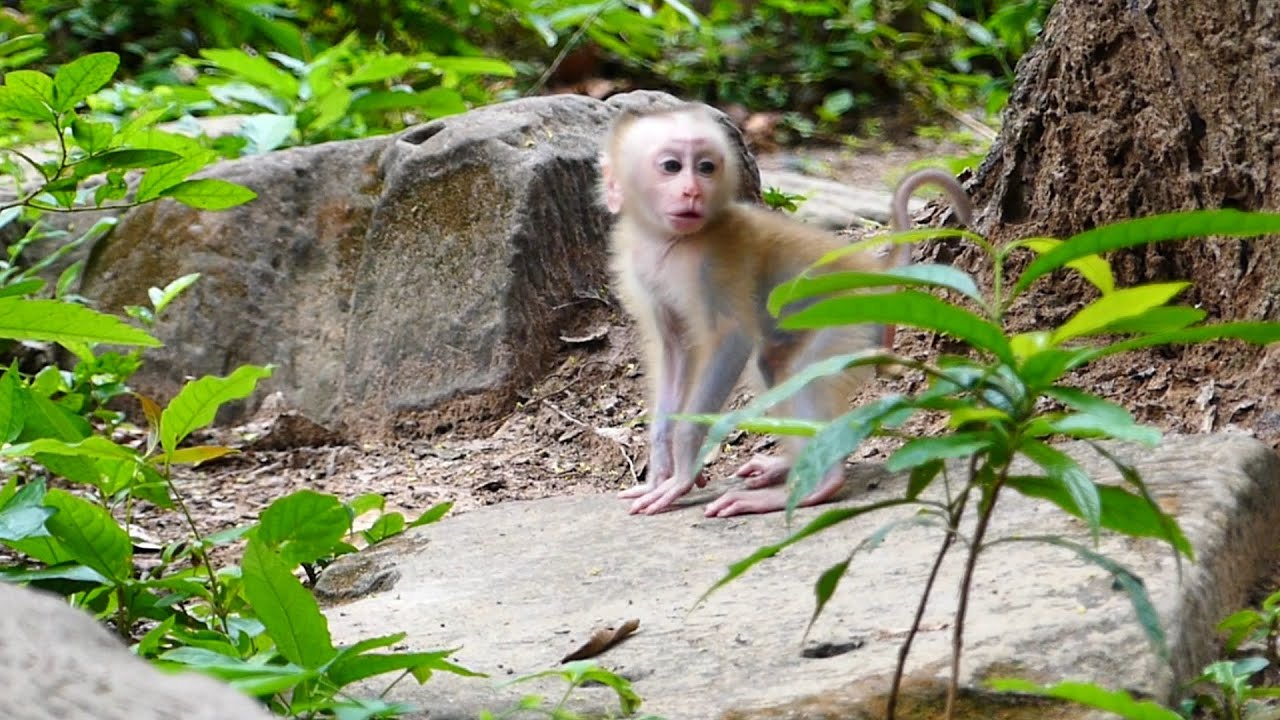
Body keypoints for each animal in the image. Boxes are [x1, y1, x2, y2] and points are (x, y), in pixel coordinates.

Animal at [599, 103, 972, 518]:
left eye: (706, 167)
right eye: (671, 166)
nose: (692, 190)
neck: (671, 242)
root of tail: (875, 275)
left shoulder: (712, 263)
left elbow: (733, 339)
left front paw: (682, 472)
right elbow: (676, 348)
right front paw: (662, 466)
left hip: (849, 316)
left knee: (800, 371)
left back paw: (821, 483)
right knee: (773, 366)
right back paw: (790, 464)